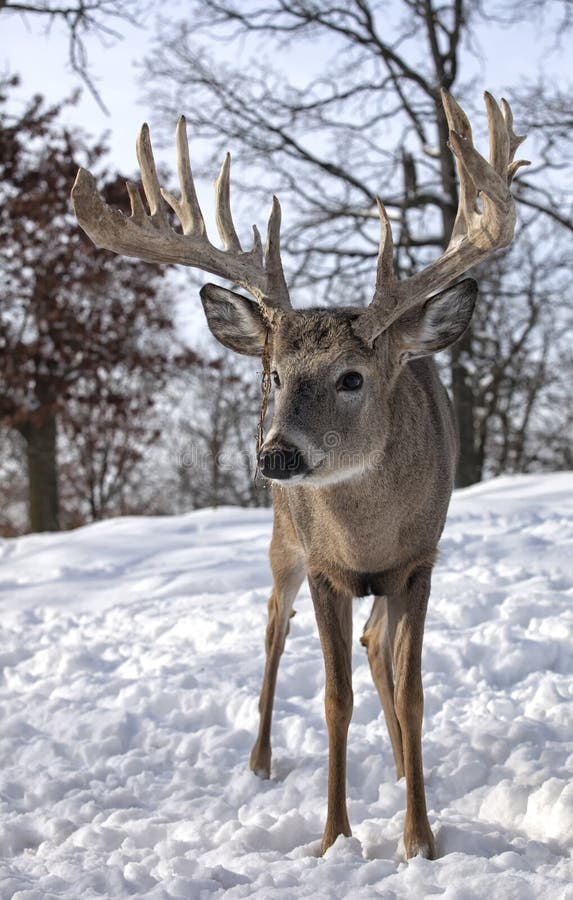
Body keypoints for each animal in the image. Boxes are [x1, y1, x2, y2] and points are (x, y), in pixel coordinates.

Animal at [71, 90, 527, 860]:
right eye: (276, 375)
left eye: (352, 377)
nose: (275, 454)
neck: (367, 537)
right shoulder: (323, 567)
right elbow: (334, 698)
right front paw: (334, 839)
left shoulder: (418, 561)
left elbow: (411, 691)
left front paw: (419, 839)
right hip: (282, 544)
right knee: (271, 625)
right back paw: (259, 761)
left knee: (376, 646)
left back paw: (399, 765)